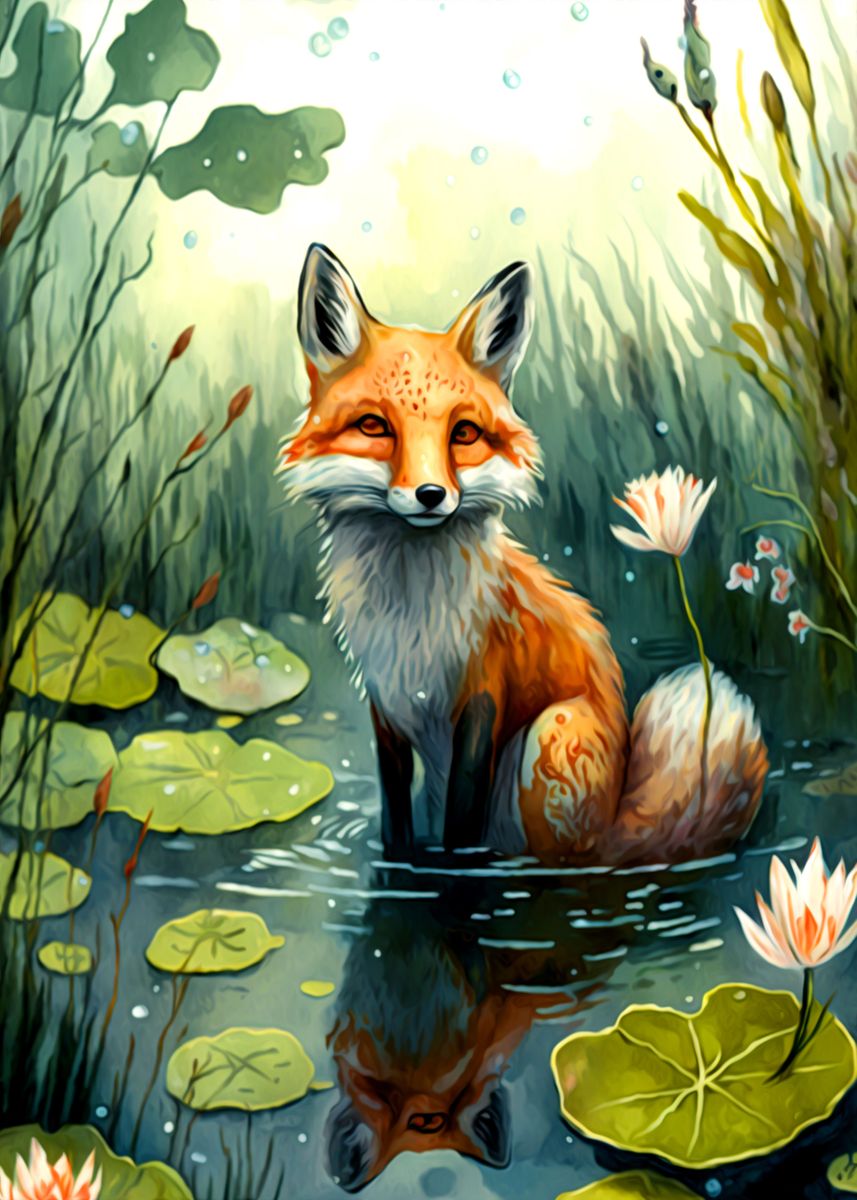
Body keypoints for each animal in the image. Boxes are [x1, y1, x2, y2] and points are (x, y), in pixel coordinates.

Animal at [281, 243, 769, 865]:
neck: (411, 611)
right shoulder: (385, 705)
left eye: (463, 433)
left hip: (551, 734)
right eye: (374, 426)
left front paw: (453, 873)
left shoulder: (483, 698)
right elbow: (395, 822)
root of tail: (618, 823)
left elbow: (461, 829)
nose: (431, 495)